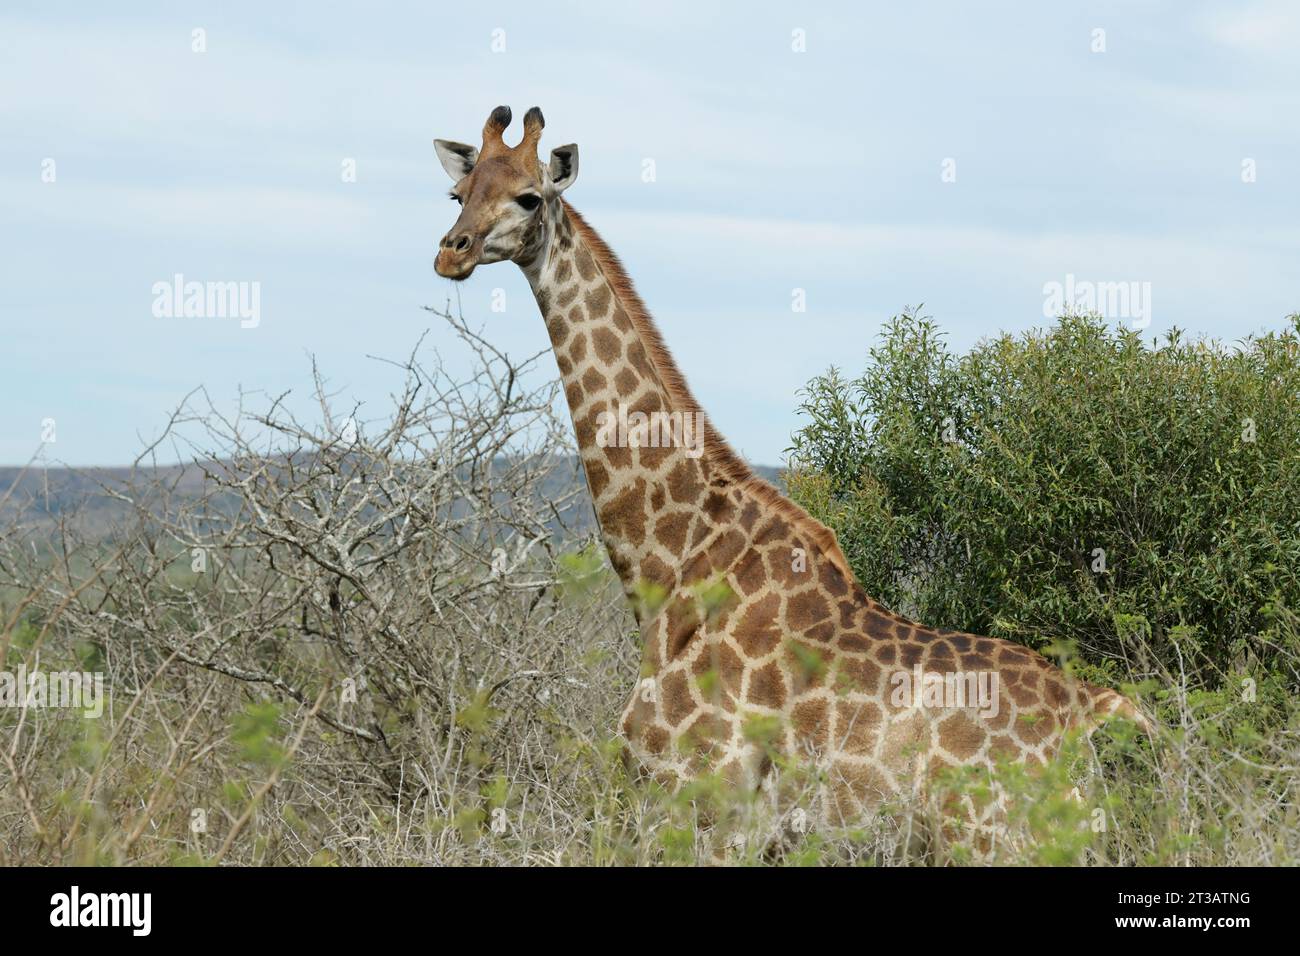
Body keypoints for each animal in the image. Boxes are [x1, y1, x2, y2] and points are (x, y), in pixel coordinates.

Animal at [433, 106, 1150, 852]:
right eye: (458, 194)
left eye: (528, 197)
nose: (451, 251)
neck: (667, 567)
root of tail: (1090, 713)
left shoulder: (703, 800)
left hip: (990, 838)